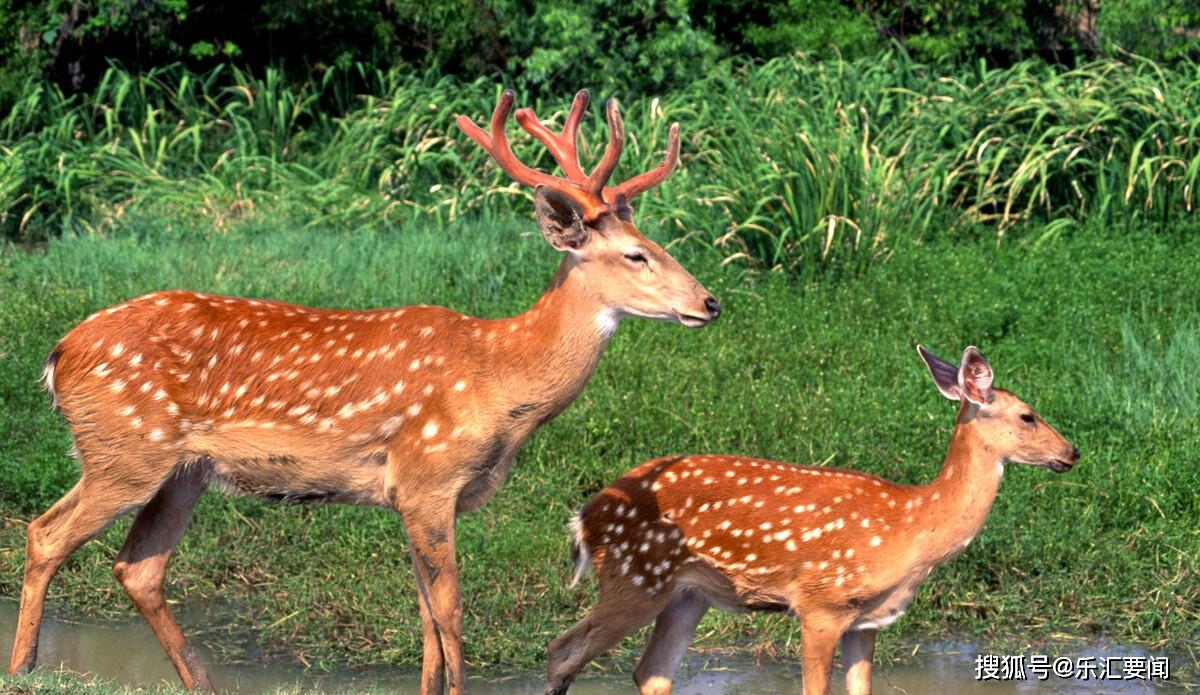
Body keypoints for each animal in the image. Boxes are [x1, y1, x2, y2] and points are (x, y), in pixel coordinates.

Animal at [8, 89, 721, 695]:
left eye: (656, 243)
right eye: (636, 255)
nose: (709, 302)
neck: (499, 381)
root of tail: (59, 353)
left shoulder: (409, 492)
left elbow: (425, 614)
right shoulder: (429, 475)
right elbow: (451, 610)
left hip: (180, 469)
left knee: (138, 566)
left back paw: (197, 683)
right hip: (127, 448)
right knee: (46, 533)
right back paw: (23, 668)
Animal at [545, 345, 1079, 695]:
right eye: (1029, 415)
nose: (1072, 452)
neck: (911, 528)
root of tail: (584, 517)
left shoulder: (867, 621)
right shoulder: (822, 603)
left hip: (686, 594)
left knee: (652, 673)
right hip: (635, 578)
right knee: (562, 650)